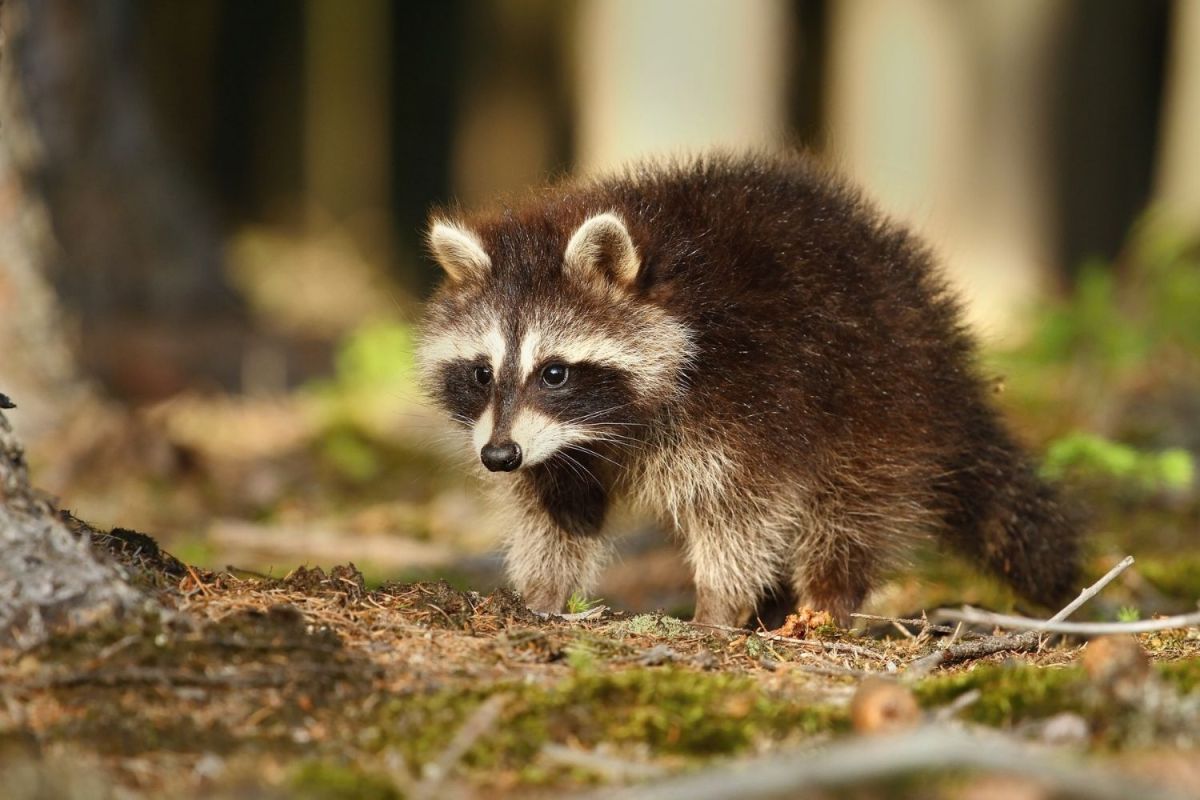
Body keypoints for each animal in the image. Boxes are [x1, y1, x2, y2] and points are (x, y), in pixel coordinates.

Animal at [417, 152, 1081, 627]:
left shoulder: (748, 395)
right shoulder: (554, 445)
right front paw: (542, 595)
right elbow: (556, 510)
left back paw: (827, 600)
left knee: (849, 509)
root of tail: (942, 347)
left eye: (554, 372)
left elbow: (740, 511)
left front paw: (717, 606)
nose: (498, 457)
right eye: (481, 373)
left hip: (878, 399)